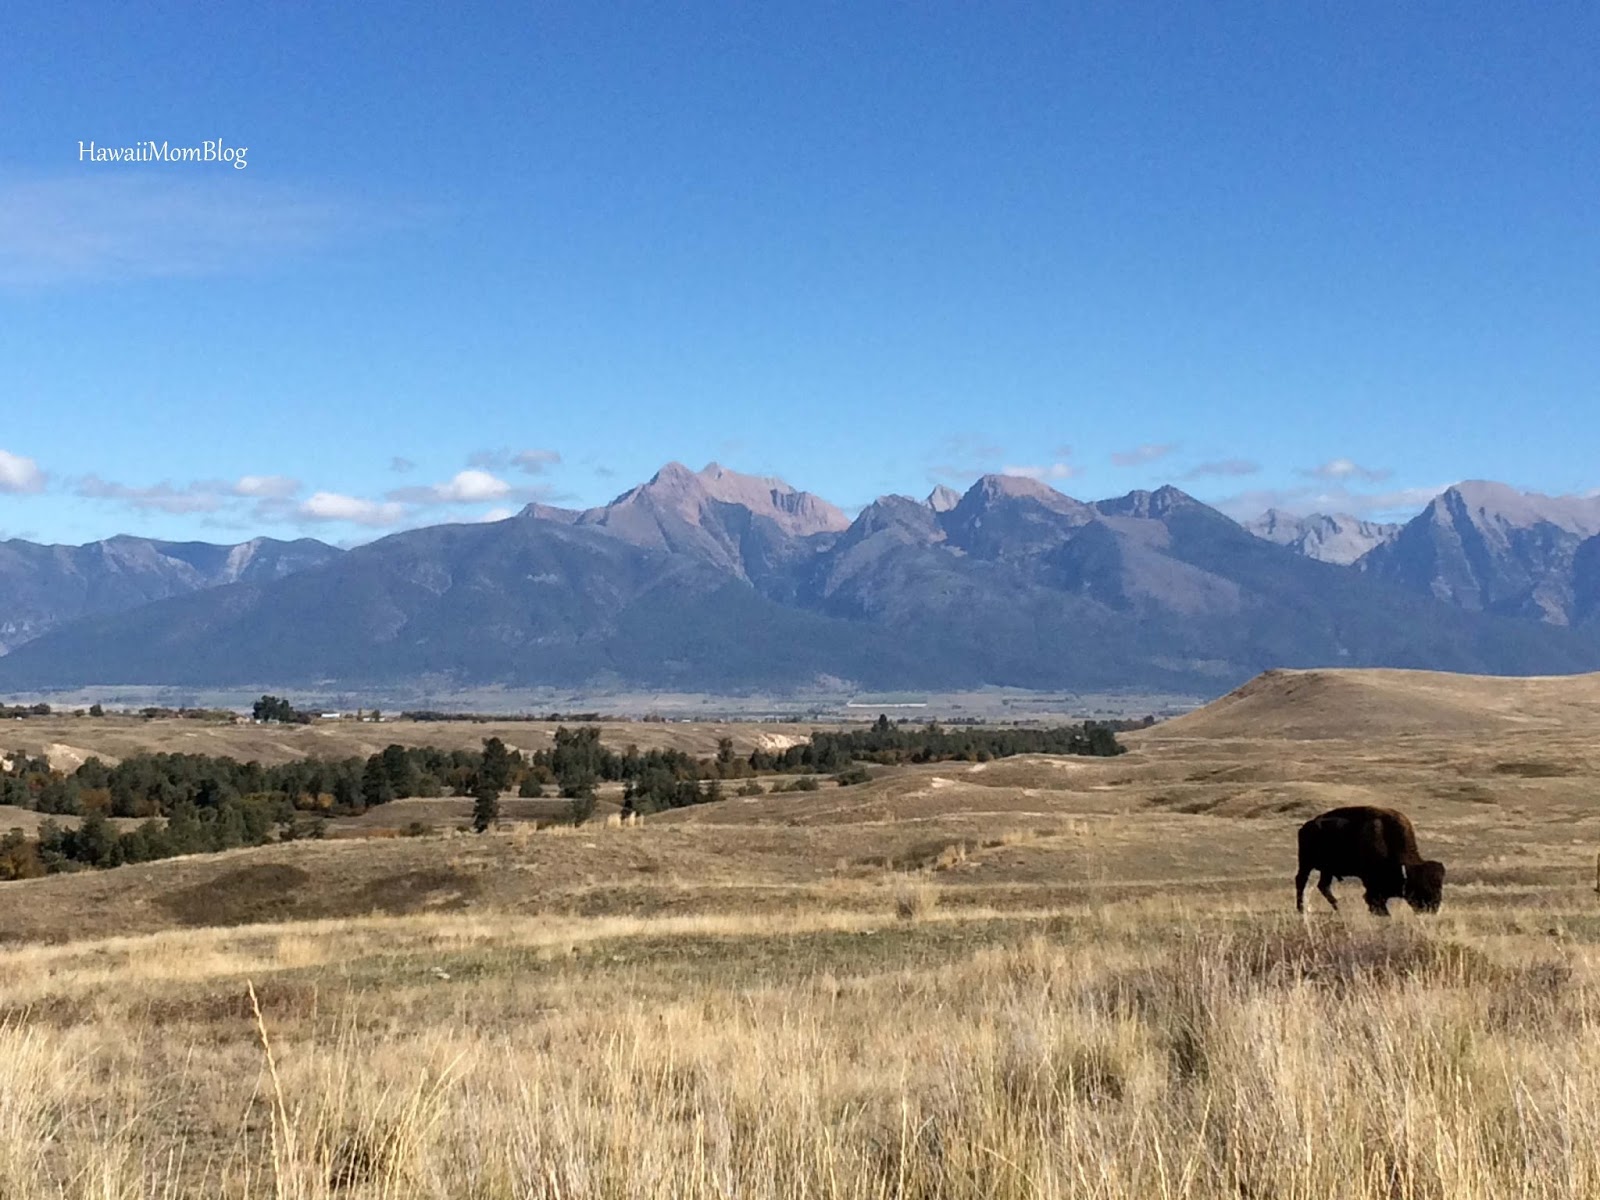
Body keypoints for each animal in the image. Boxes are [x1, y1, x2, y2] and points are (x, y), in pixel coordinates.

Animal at [1294, 805, 1445, 916]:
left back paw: (1339, 909)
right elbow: (1373, 898)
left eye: (1439, 886)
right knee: (1301, 881)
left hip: (1327, 869)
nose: (1433, 907)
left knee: (1323, 886)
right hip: (1306, 863)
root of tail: (1305, 827)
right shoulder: (1372, 883)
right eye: (1420, 887)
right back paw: (1301, 909)